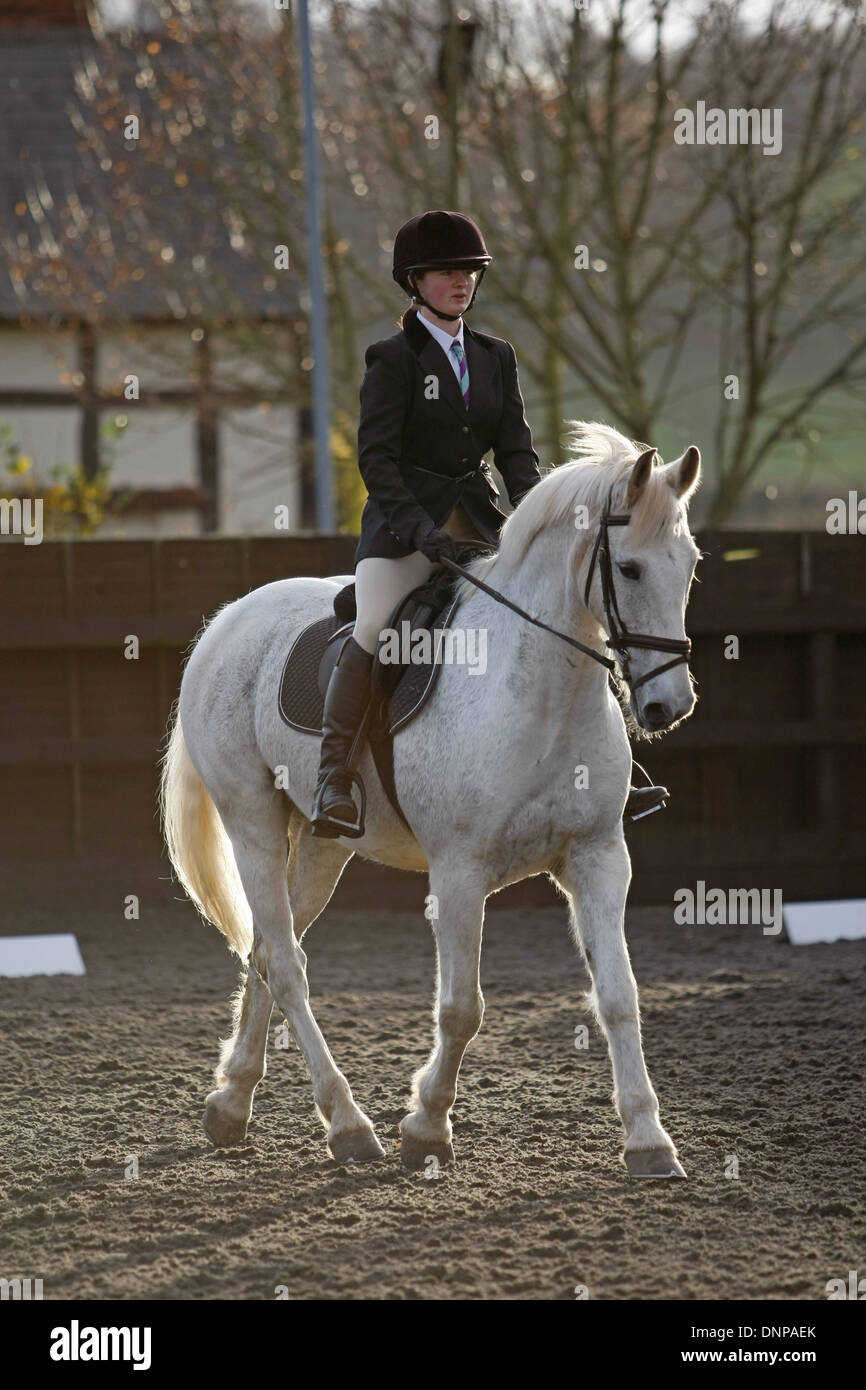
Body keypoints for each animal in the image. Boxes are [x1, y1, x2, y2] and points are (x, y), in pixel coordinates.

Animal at [159, 421, 701, 1177]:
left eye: (690, 564)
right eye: (628, 570)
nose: (667, 706)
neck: (542, 693)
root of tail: (227, 621)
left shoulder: (598, 858)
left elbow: (619, 998)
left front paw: (650, 1141)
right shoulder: (460, 873)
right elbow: (461, 1010)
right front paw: (425, 1129)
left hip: (322, 846)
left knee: (267, 953)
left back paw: (231, 1105)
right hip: (253, 825)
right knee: (288, 967)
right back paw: (348, 1126)